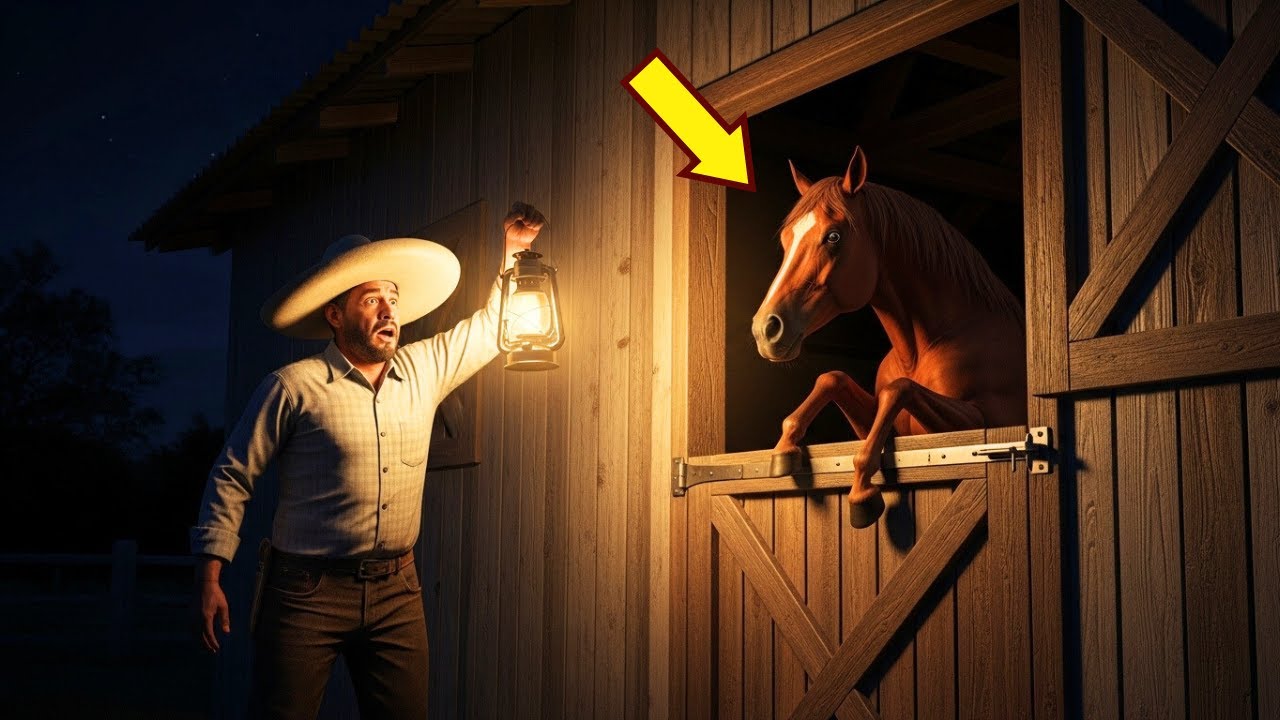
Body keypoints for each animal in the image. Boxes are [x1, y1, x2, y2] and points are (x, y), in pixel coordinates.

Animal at [751, 147, 1026, 528]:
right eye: (785, 238)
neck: (919, 347)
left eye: (834, 236)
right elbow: (832, 379)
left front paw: (862, 493)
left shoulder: (982, 422)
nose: (765, 329)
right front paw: (784, 448)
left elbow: (898, 389)